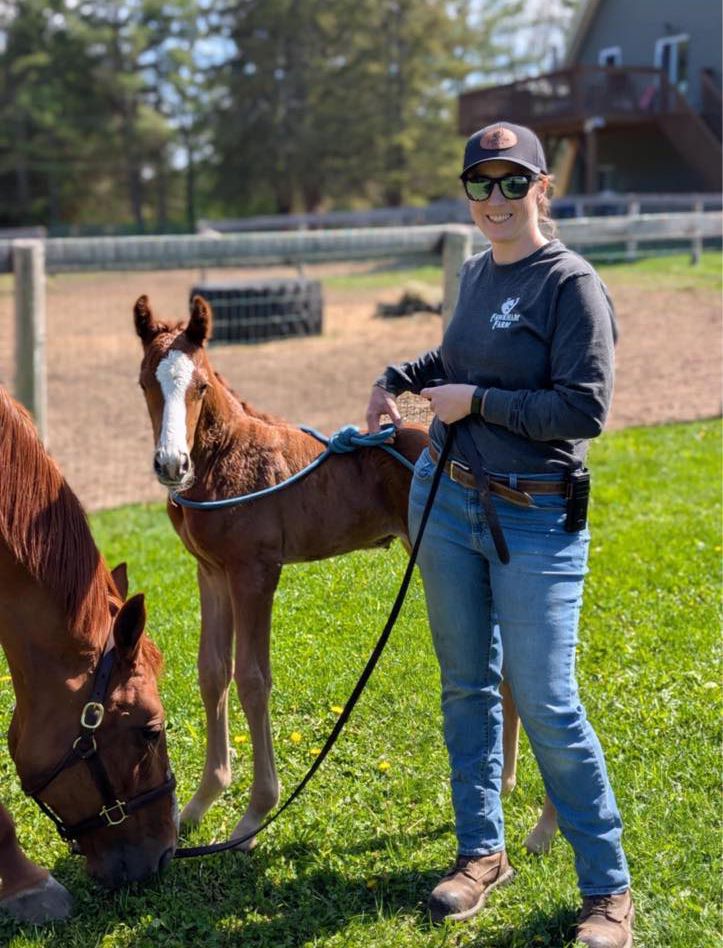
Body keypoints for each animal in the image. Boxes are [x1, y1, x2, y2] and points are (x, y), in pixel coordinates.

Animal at [132, 294, 558, 855]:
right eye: (145, 381)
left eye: (199, 385)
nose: (170, 464)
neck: (226, 460)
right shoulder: (212, 572)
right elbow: (212, 673)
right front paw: (200, 804)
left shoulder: (255, 573)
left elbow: (252, 679)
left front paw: (254, 817)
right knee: (509, 668)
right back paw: (506, 782)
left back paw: (543, 823)